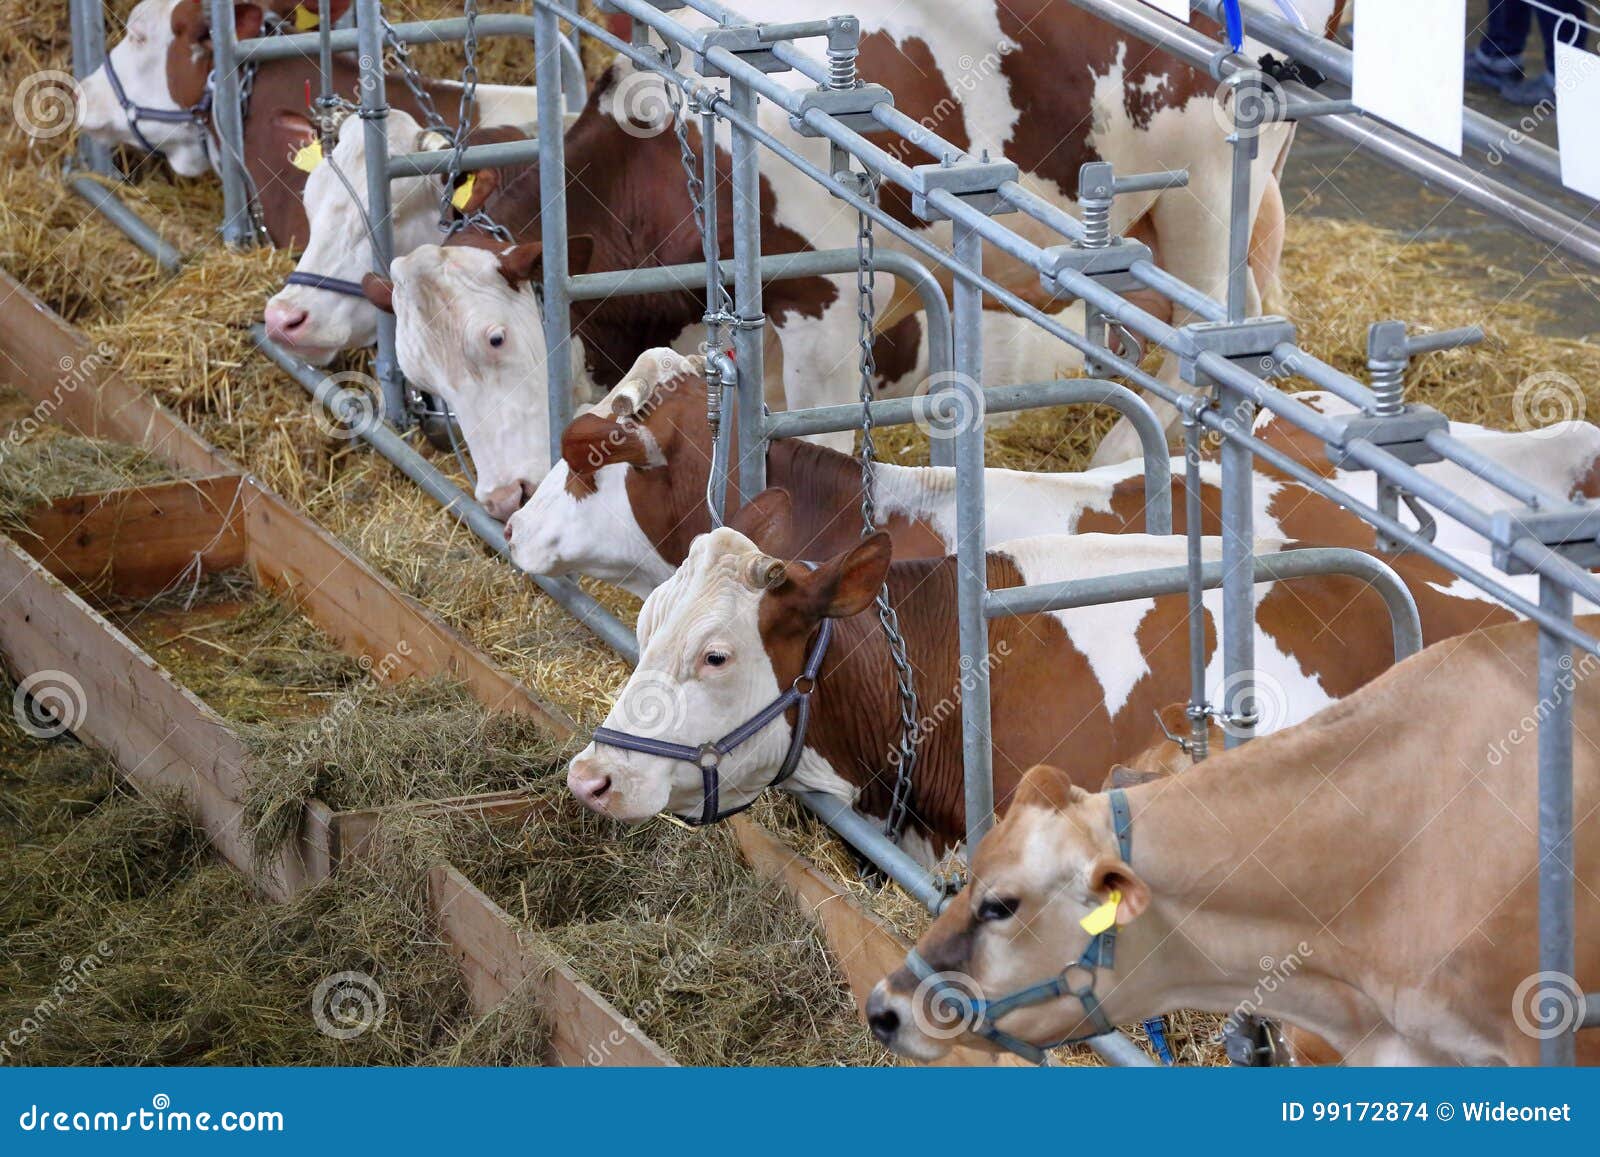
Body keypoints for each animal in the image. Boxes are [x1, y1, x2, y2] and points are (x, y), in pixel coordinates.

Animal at [360, 0, 1333, 503]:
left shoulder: (822, 310)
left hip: (1204, 205)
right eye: (421, 375)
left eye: (496, 338)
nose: (503, 497)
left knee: (1215, 346)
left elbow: (818, 437)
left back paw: (1123, 459)